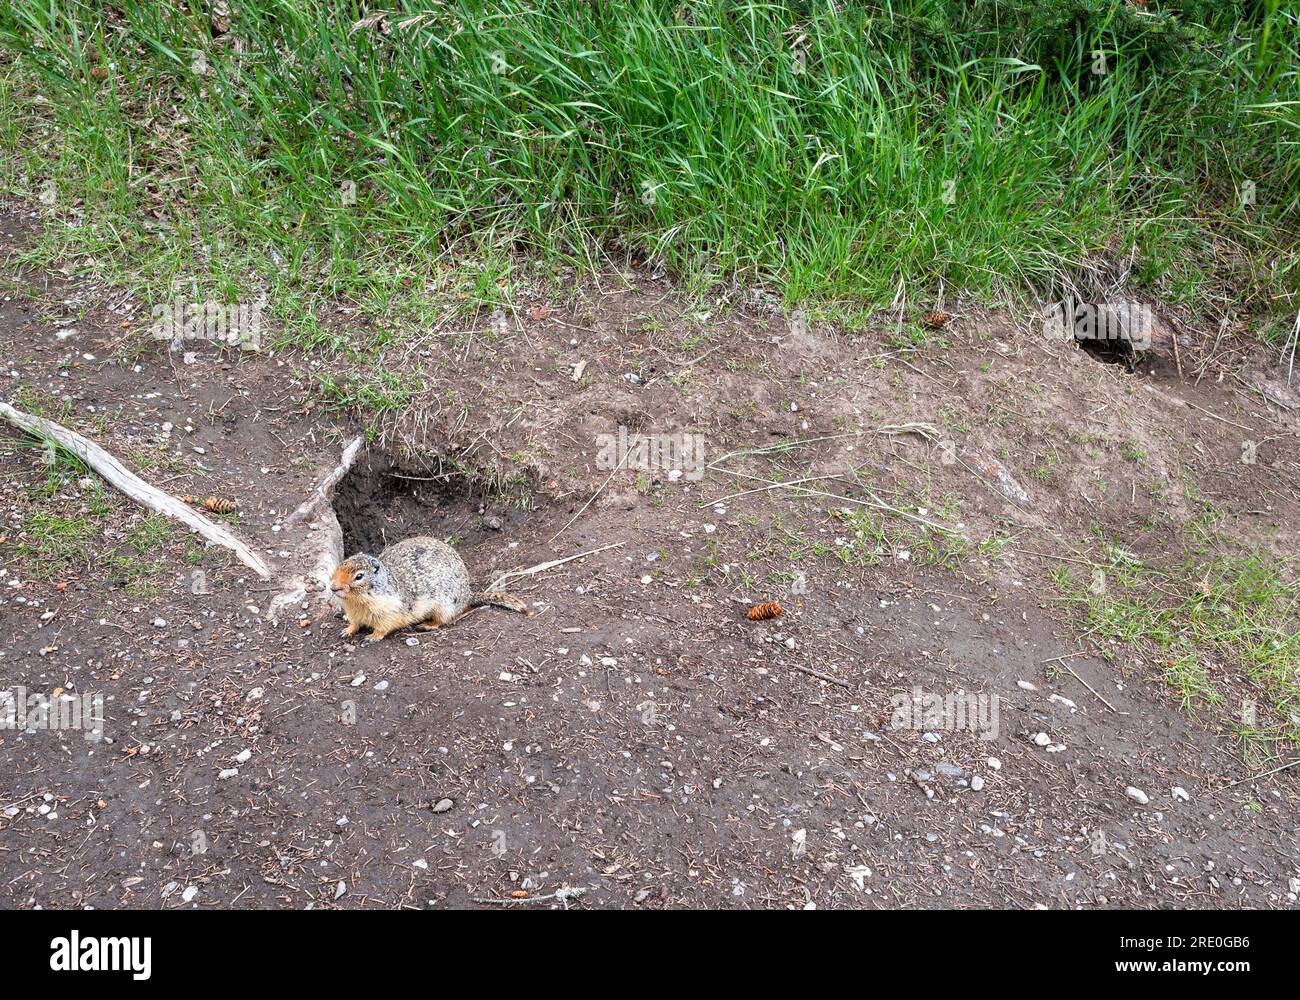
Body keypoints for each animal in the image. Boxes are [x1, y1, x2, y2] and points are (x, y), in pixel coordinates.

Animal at [330, 535, 530, 642]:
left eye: (359, 576)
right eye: (340, 564)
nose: (332, 588)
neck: (358, 601)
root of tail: (468, 595)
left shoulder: (389, 610)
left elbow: (384, 626)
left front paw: (372, 636)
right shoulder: (354, 613)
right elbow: (354, 623)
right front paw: (347, 631)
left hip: (444, 606)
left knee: (444, 620)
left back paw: (427, 625)